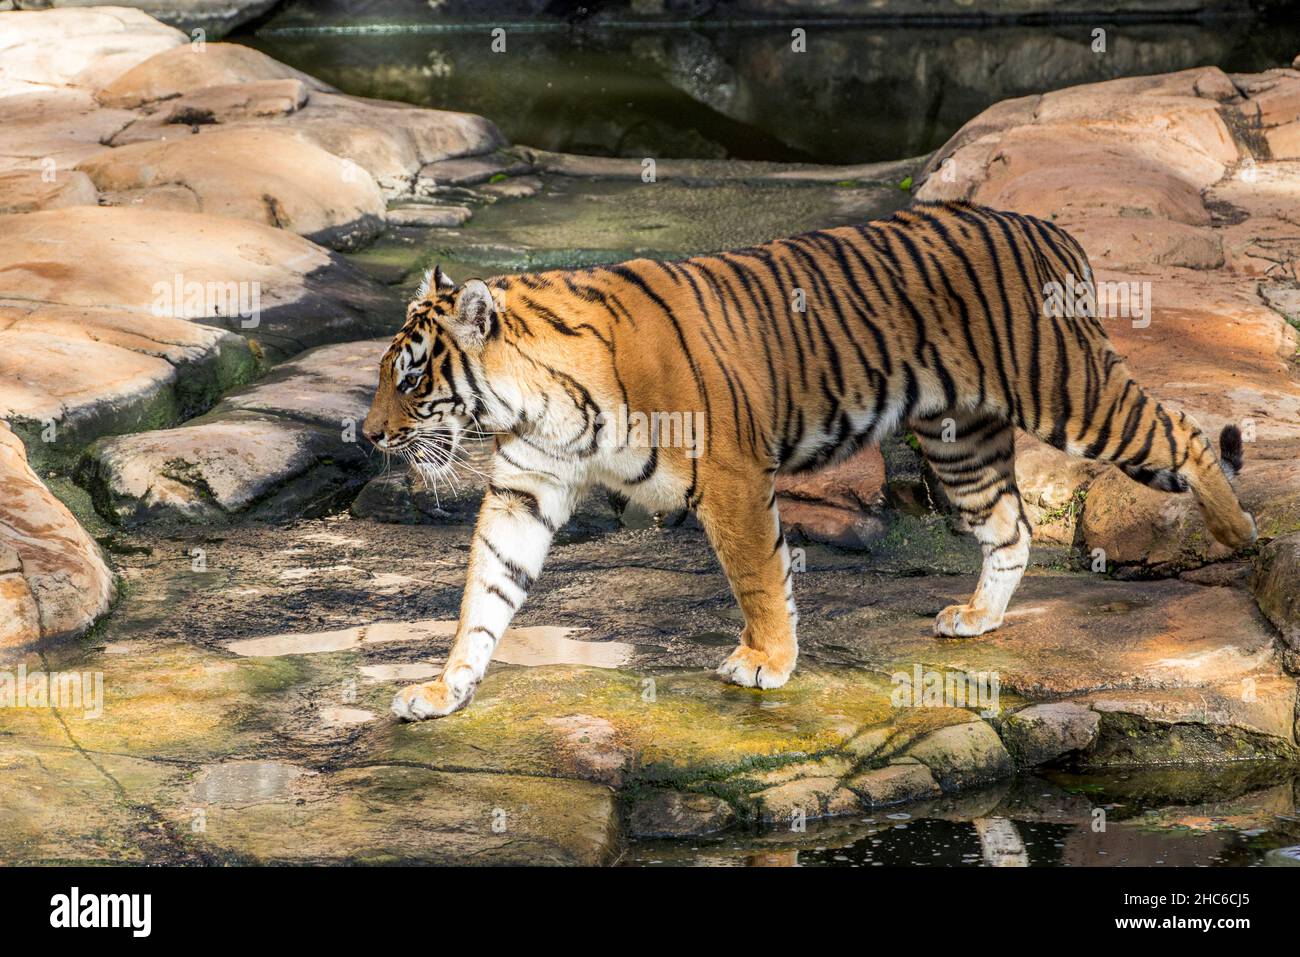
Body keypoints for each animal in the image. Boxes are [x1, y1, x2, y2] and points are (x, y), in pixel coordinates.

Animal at [362, 200, 1256, 721]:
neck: (537, 399)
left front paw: (765, 662)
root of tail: (1048, 227)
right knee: (1011, 527)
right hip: (959, 438)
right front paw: (444, 687)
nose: (366, 434)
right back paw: (979, 615)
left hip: (1068, 391)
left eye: (410, 380)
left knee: (1181, 430)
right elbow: (487, 590)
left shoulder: (729, 476)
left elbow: (759, 574)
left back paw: (1237, 533)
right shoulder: (526, 486)